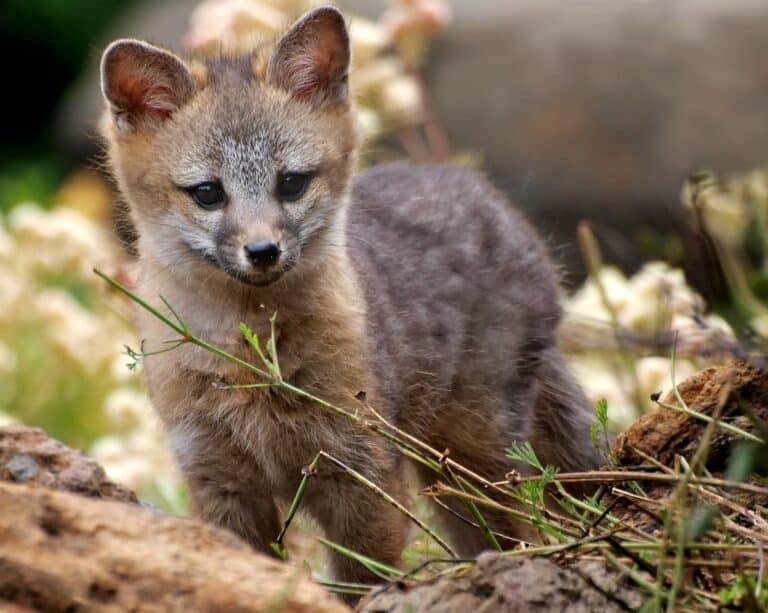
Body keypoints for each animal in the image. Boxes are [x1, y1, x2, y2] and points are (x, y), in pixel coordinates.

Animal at [99, 5, 600, 587]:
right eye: (207, 193)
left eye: (291, 183)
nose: (263, 251)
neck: (253, 361)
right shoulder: (217, 478)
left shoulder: (361, 472)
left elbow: (362, 580)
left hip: (476, 460)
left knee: (520, 529)